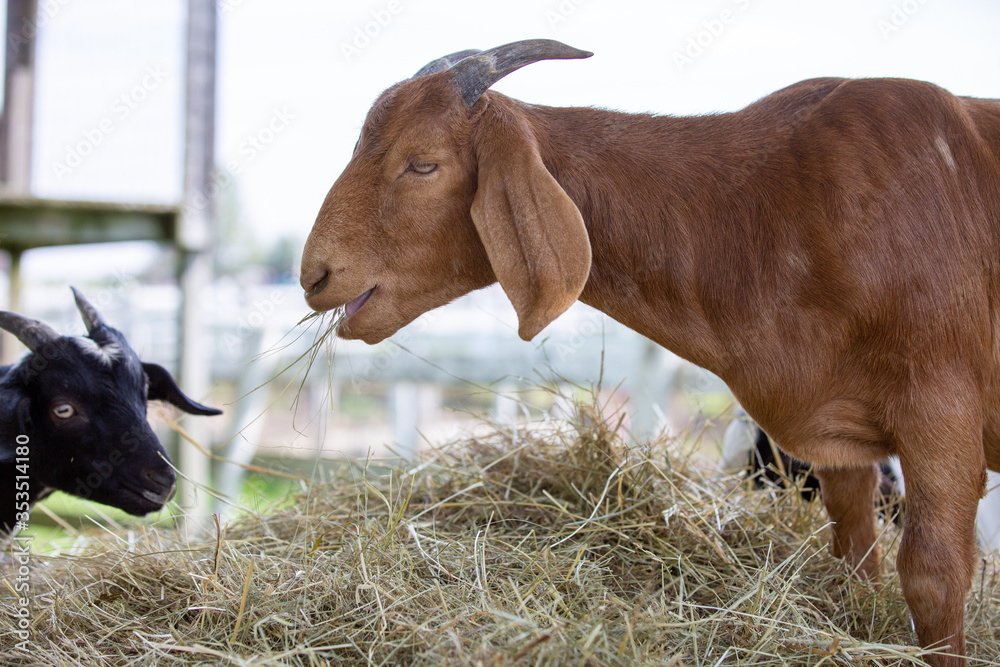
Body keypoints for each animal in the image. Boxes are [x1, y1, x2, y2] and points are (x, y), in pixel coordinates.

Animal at [298, 39, 1000, 664]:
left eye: (422, 164)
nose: (315, 276)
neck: (768, 206)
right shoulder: (838, 437)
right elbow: (853, 556)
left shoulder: (940, 410)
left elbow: (933, 576)